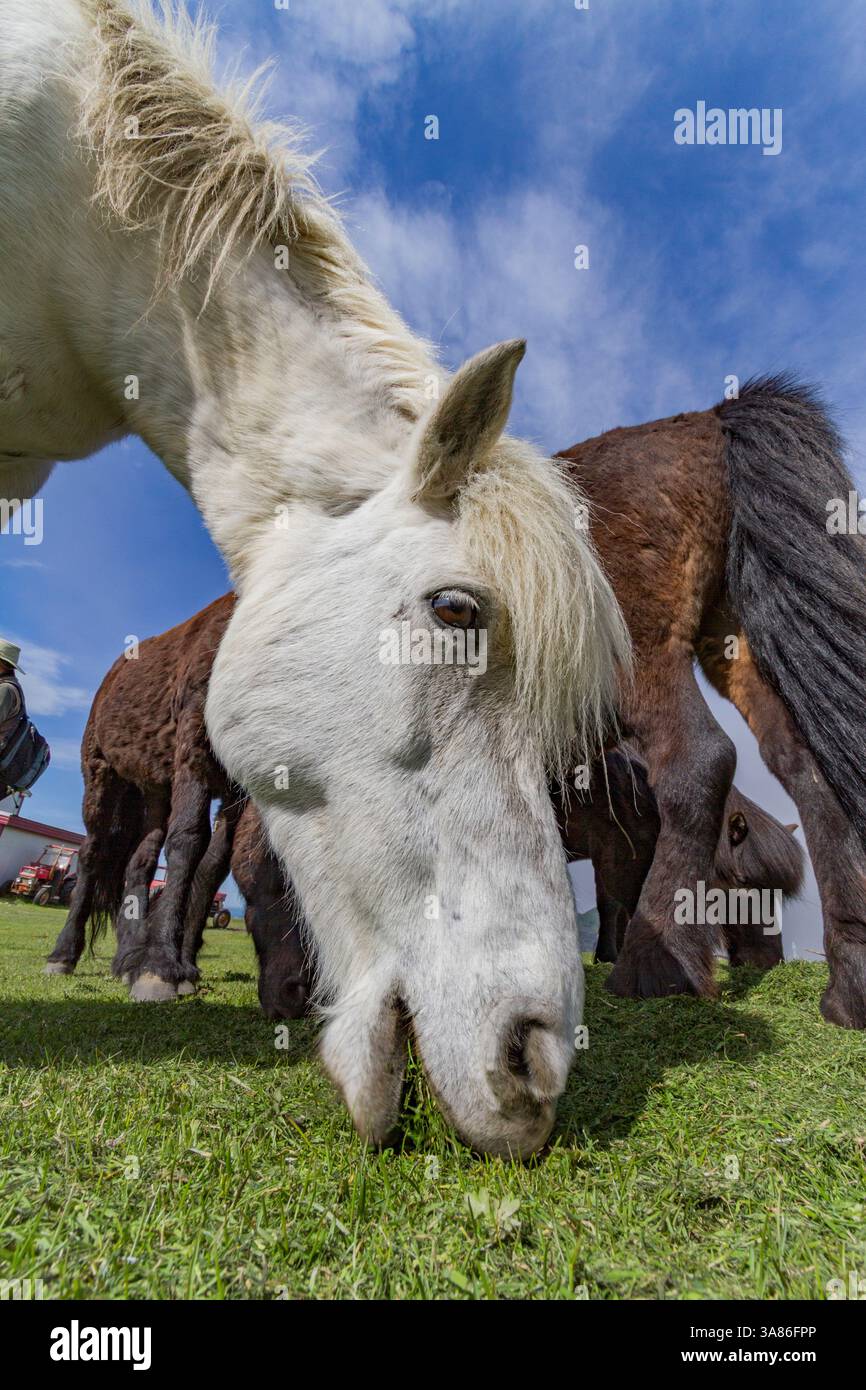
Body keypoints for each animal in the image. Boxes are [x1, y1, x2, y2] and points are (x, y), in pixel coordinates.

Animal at [558, 378, 866, 1027]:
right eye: (749, 892)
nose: (770, 959)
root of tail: (709, 421)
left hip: (636, 649)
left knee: (699, 759)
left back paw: (656, 968)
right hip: (735, 642)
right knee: (806, 770)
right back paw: (851, 985)